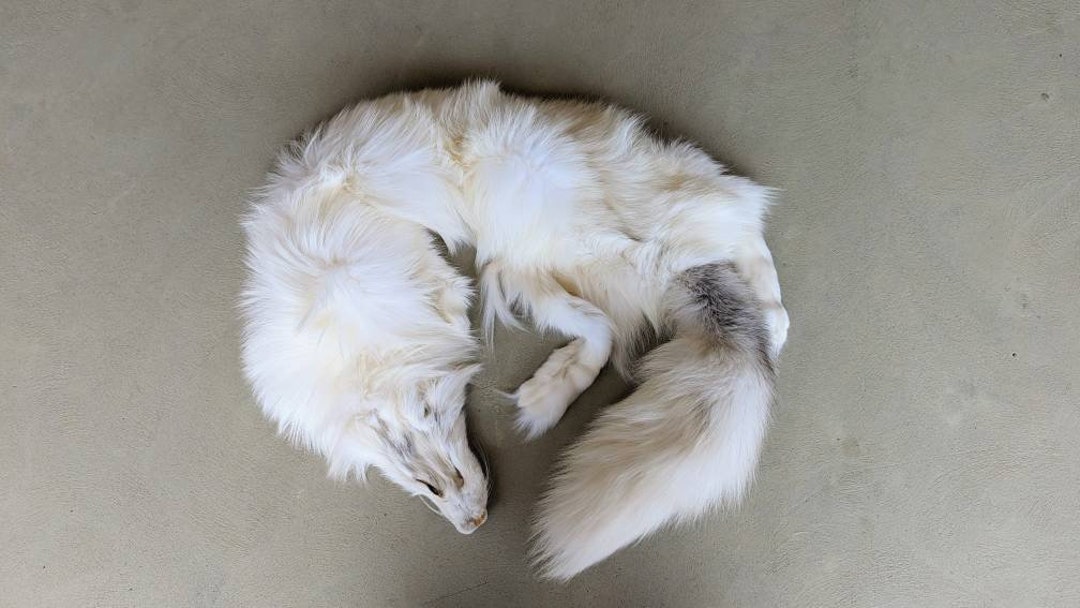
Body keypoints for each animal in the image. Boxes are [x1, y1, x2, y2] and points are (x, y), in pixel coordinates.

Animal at [240, 80, 788, 578]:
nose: (476, 525)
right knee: (616, 318)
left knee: (736, 219)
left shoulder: (389, 278)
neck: (353, 351)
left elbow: (445, 298)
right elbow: (597, 331)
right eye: (427, 489)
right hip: (535, 256)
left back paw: (773, 318)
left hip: (581, 233)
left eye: (452, 476)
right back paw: (550, 393)